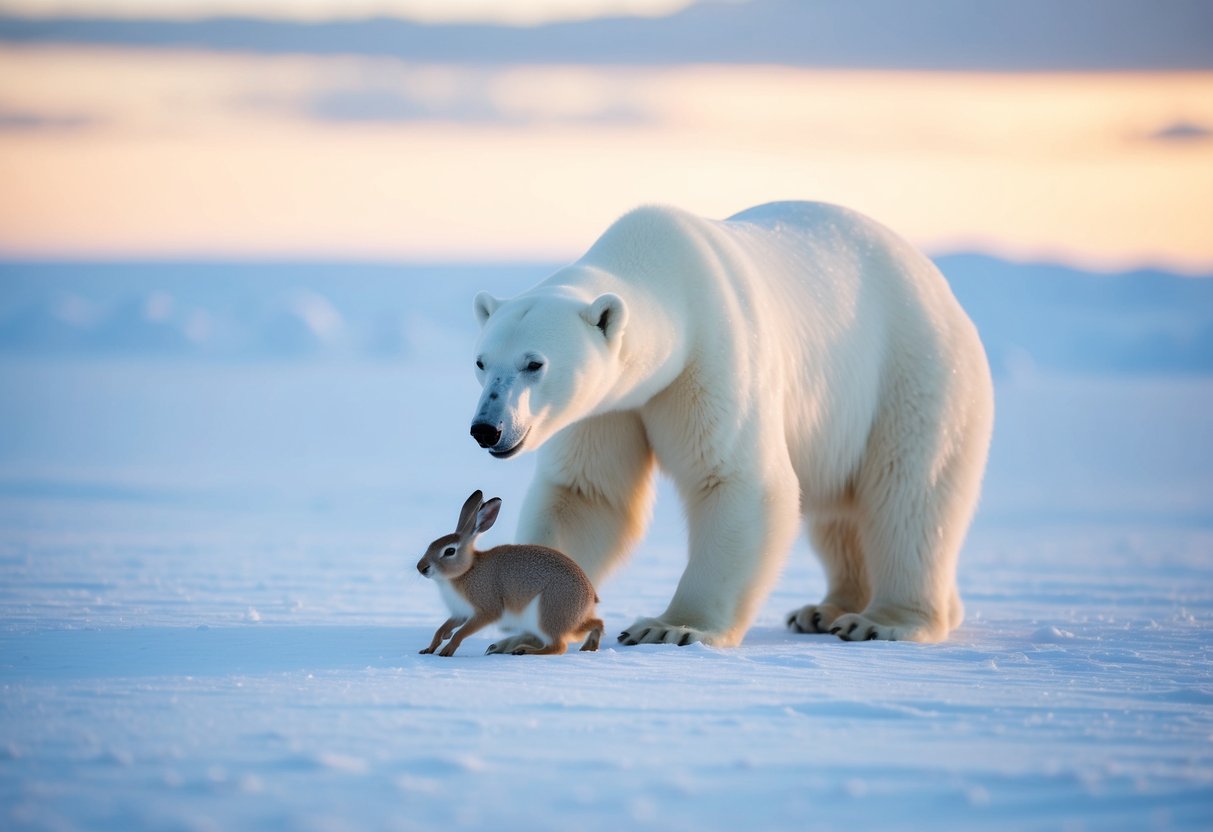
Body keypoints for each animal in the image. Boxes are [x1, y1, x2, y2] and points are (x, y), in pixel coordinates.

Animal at [469, 201, 993, 647]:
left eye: (534, 364)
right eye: (481, 361)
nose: (486, 428)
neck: (669, 276)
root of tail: (943, 293)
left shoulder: (714, 359)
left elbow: (737, 480)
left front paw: (672, 627)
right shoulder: (611, 406)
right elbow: (585, 494)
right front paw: (523, 629)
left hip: (915, 374)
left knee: (909, 496)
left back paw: (882, 620)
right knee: (841, 516)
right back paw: (822, 611)